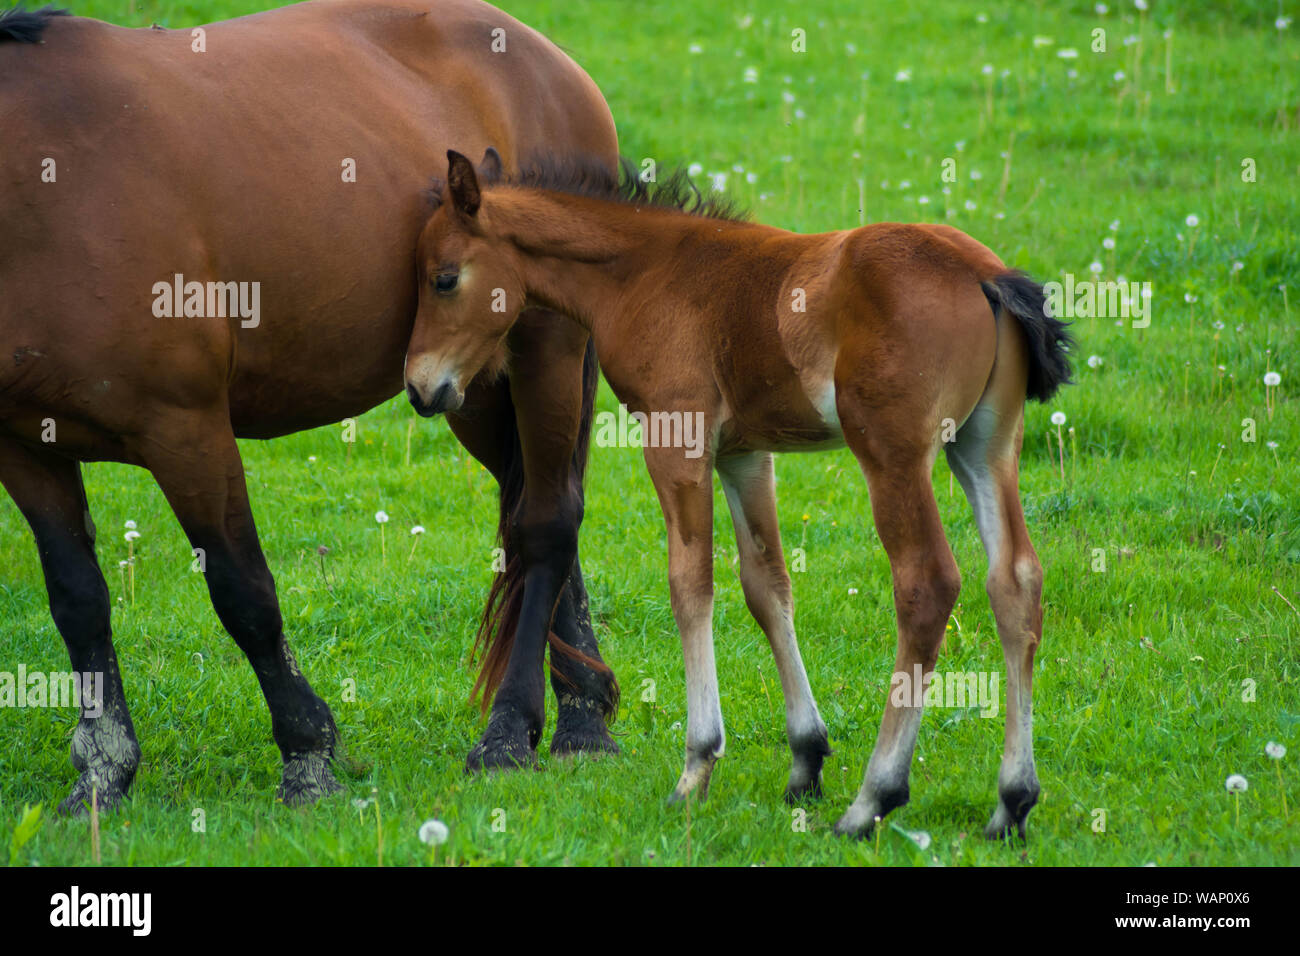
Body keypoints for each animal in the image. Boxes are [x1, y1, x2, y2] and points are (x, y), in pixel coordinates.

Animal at [0, 1, 622, 814]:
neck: (44, 191)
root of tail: (551, 63)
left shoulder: (185, 429)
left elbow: (245, 595)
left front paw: (307, 755)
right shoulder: (26, 449)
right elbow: (77, 603)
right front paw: (104, 772)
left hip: (544, 350)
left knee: (546, 525)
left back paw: (512, 733)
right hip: (473, 386)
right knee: (542, 516)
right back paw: (583, 718)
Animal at [403, 150, 1073, 839]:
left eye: (444, 279)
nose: (421, 389)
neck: (643, 273)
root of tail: (984, 273)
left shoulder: (677, 442)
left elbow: (690, 585)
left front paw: (696, 767)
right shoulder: (745, 455)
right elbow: (766, 586)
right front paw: (805, 760)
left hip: (893, 453)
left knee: (926, 583)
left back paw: (873, 798)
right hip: (986, 444)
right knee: (1015, 580)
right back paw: (1011, 800)